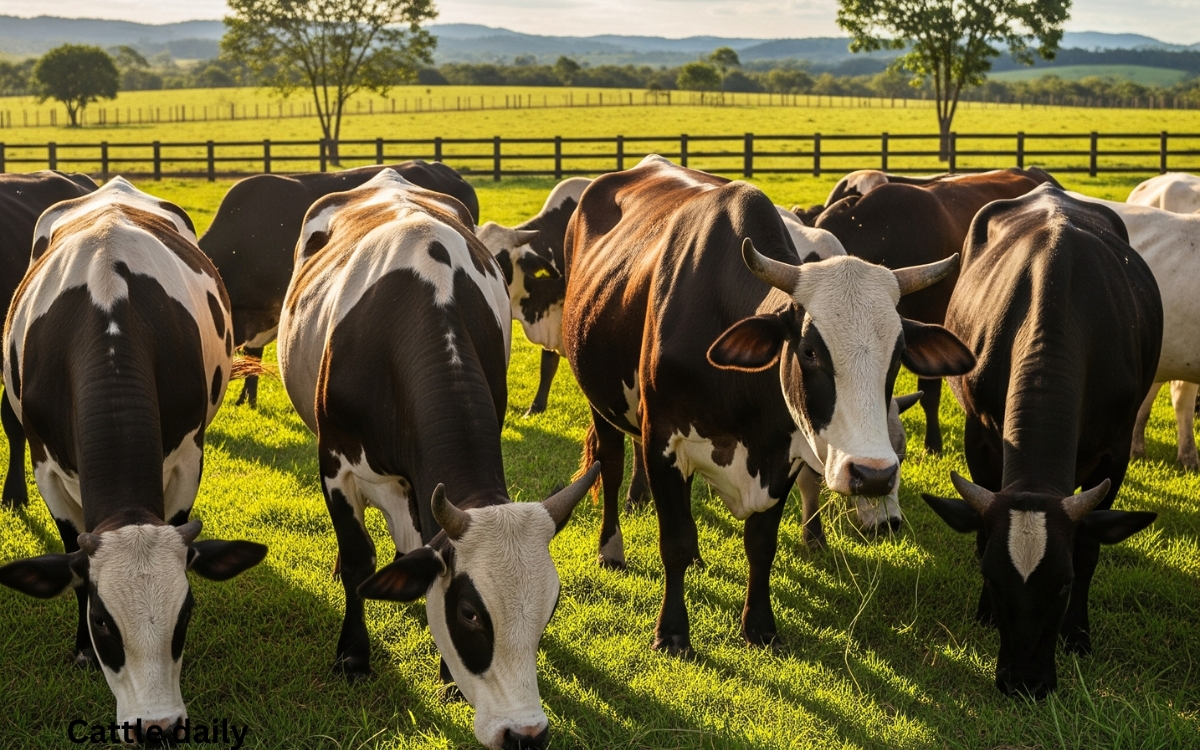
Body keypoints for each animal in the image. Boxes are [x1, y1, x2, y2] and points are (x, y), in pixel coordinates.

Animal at [276, 169, 597, 750]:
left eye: (551, 609)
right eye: (470, 613)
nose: (526, 733)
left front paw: (448, 674)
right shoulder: (335, 463)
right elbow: (358, 557)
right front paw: (353, 655)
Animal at [561, 155, 975, 655]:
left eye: (897, 355)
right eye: (809, 351)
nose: (873, 474)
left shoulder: (785, 455)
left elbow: (761, 544)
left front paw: (759, 626)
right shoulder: (663, 442)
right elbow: (674, 538)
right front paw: (673, 632)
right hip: (597, 398)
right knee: (611, 462)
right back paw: (611, 549)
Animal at [923, 185, 1160, 698]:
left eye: (1064, 584)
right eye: (991, 578)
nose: (1024, 682)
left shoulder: (1115, 453)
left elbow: (1089, 547)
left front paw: (1078, 634)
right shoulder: (979, 438)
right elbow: (980, 532)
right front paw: (985, 615)